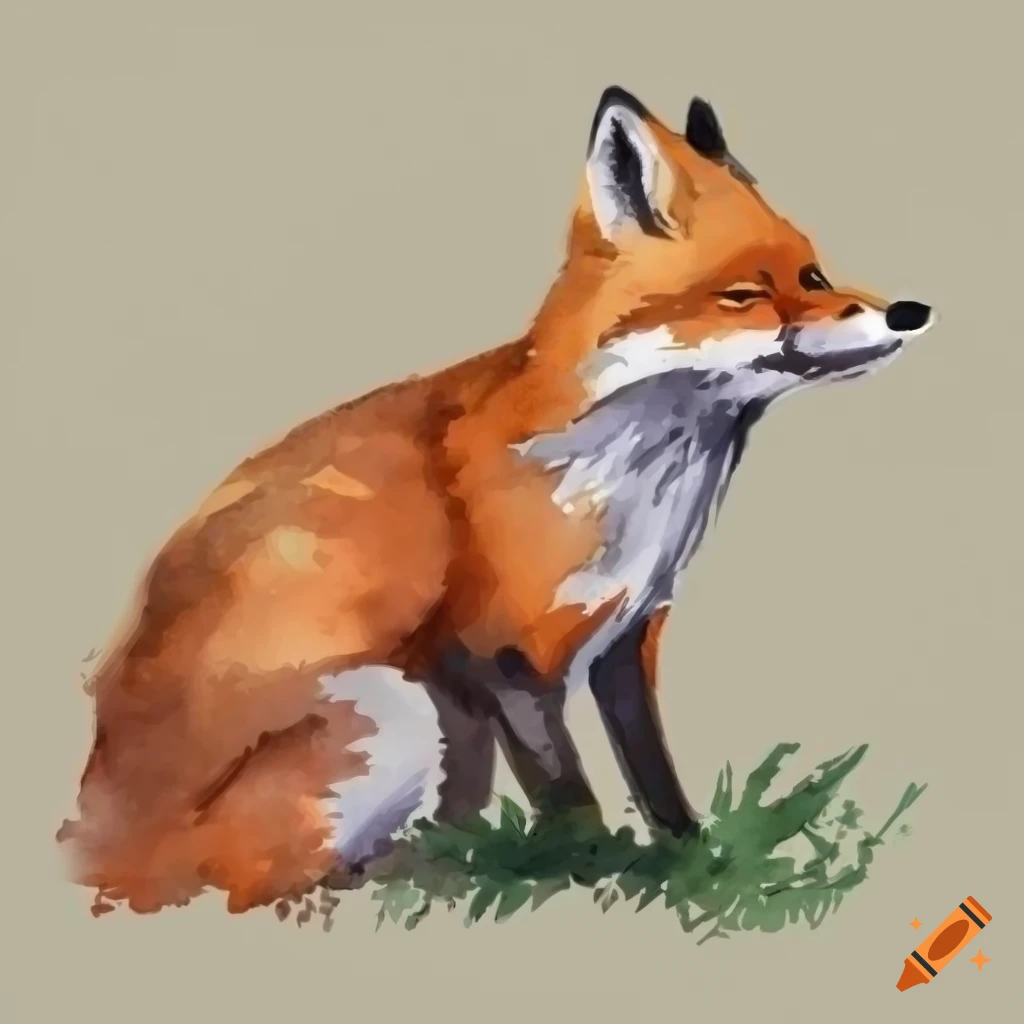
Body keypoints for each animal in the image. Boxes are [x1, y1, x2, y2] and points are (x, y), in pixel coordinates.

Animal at [58, 85, 935, 916]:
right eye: (747, 294)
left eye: (814, 276)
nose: (910, 312)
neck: (634, 480)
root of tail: (87, 839)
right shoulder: (500, 654)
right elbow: (570, 796)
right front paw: (596, 877)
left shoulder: (627, 636)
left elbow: (654, 776)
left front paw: (691, 861)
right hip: (397, 710)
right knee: (259, 888)